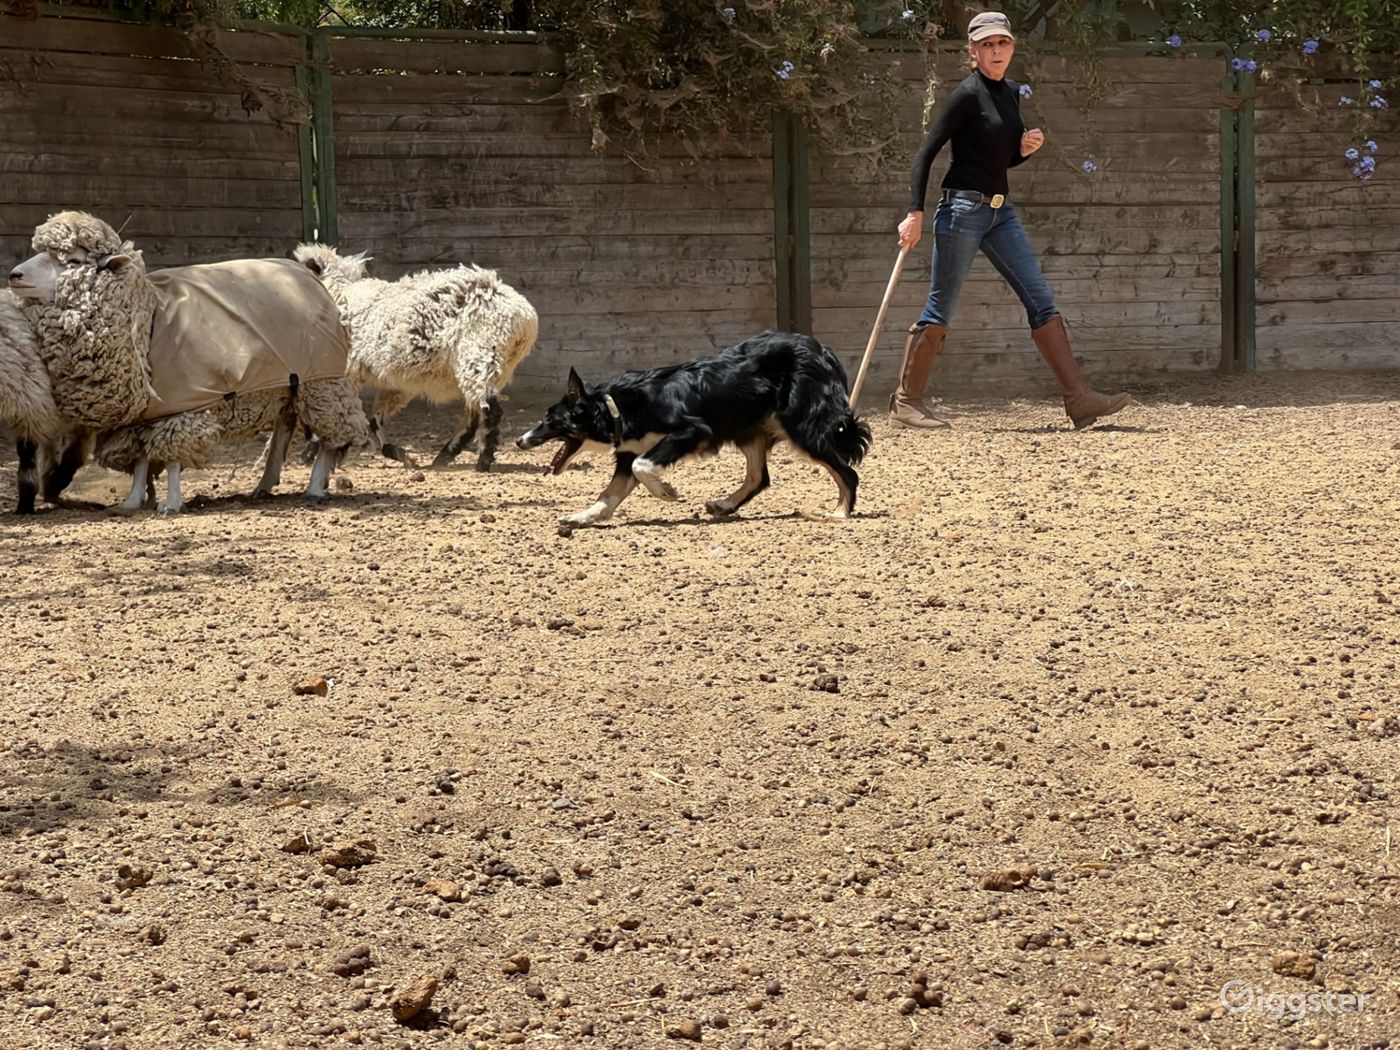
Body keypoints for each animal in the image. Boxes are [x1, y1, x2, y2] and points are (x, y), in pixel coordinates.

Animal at [9, 212, 369, 514]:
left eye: (72, 260)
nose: (14, 275)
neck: (147, 322)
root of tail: (310, 273)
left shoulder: (182, 407)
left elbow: (169, 458)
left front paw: (170, 502)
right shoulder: (144, 415)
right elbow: (141, 459)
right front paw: (132, 501)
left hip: (323, 382)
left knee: (330, 435)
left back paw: (315, 486)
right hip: (290, 383)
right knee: (285, 426)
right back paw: (265, 483)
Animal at [292, 244, 538, 472]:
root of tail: (524, 317)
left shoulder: (349, 371)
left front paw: (309, 453)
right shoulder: (395, 384)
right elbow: (375, 420)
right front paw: (397, 453)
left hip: (479, 355)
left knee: (489, 411)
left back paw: (482, 461)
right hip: (492, 367)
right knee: (474, 414)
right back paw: (444, 456)